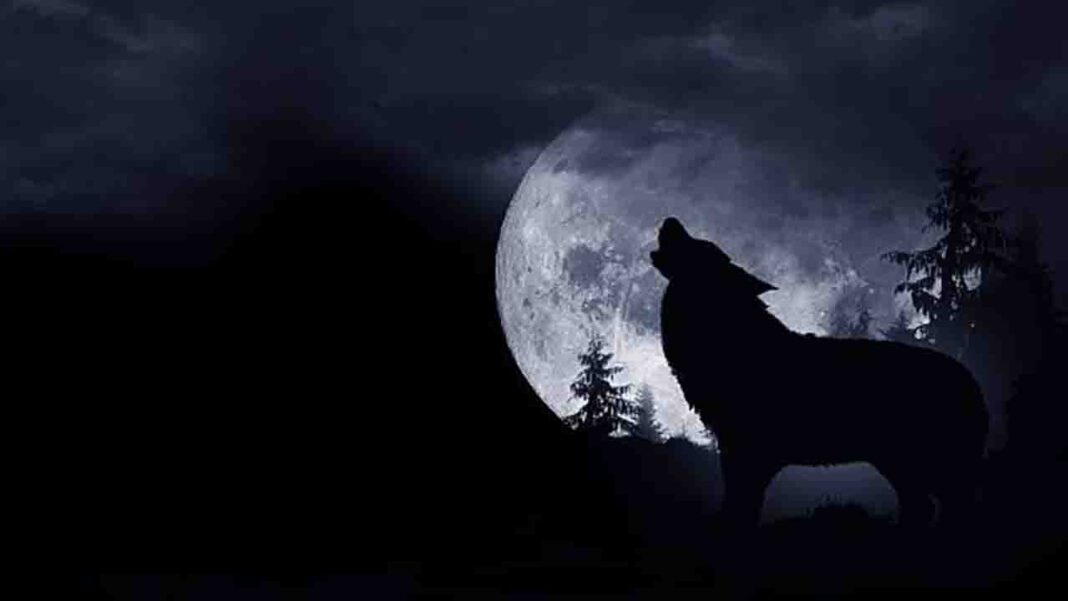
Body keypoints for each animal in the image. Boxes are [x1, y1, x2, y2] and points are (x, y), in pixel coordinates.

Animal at [650, 217, 988, 527]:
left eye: (698, 245)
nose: (670, 220)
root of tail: (970, 379)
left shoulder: (748, 450)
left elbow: (740, 508)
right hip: (898, 465)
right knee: (923, 509)